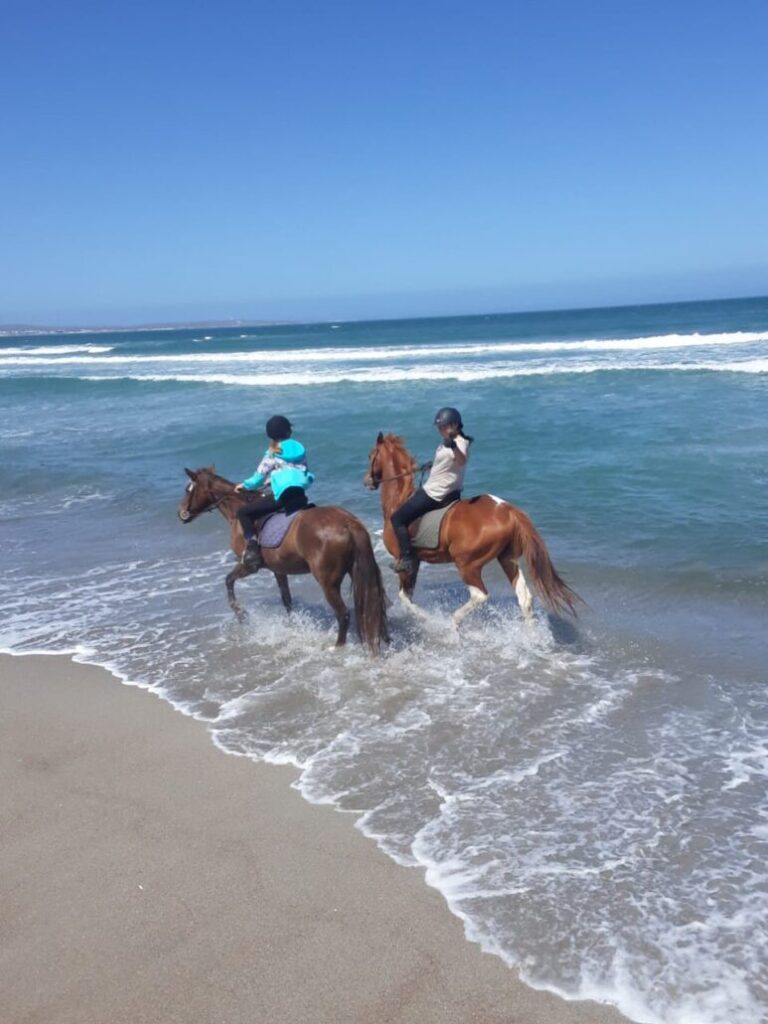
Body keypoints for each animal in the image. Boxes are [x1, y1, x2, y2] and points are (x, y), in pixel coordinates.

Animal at [177, 467, 389, 653]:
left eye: (189, 489)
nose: (181, 513)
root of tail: (349, 524)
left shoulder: (249, 566)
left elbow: (229, 581)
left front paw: (242, 615)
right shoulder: (278, 569)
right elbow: (286, 599)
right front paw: (293, 625)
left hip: (328, 583)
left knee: (343, 614)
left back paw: (337, 647)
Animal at [363, 433, 581, 626]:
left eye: (370, 455)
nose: (367, 481)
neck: (399, 500)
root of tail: (509, 510)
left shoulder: (406, 561)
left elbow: (405, 599)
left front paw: (426, 618)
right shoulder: (415, 561)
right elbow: (406, 597)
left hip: (467, 564)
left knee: (480, 595)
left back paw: (453, 625)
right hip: (507, 558)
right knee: (524, 598)